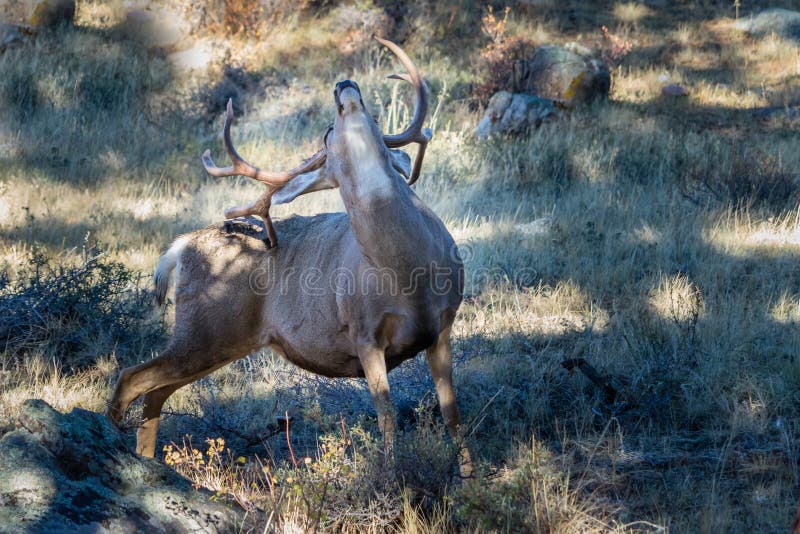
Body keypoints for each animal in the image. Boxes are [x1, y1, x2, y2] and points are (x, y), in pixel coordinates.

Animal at [107, 37, 472, 477]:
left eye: (372, 116)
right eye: (328, 133)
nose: (344, 85)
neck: (409, 275)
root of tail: (183, 246)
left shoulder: (443, 325)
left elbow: (452, 412)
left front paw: (469, 476)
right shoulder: (363, 332)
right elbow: (386, 416)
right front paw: (389, 477)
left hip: (216, 341)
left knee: (155, 393)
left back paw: (148, 463)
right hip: (203, 330)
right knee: (131, 377)